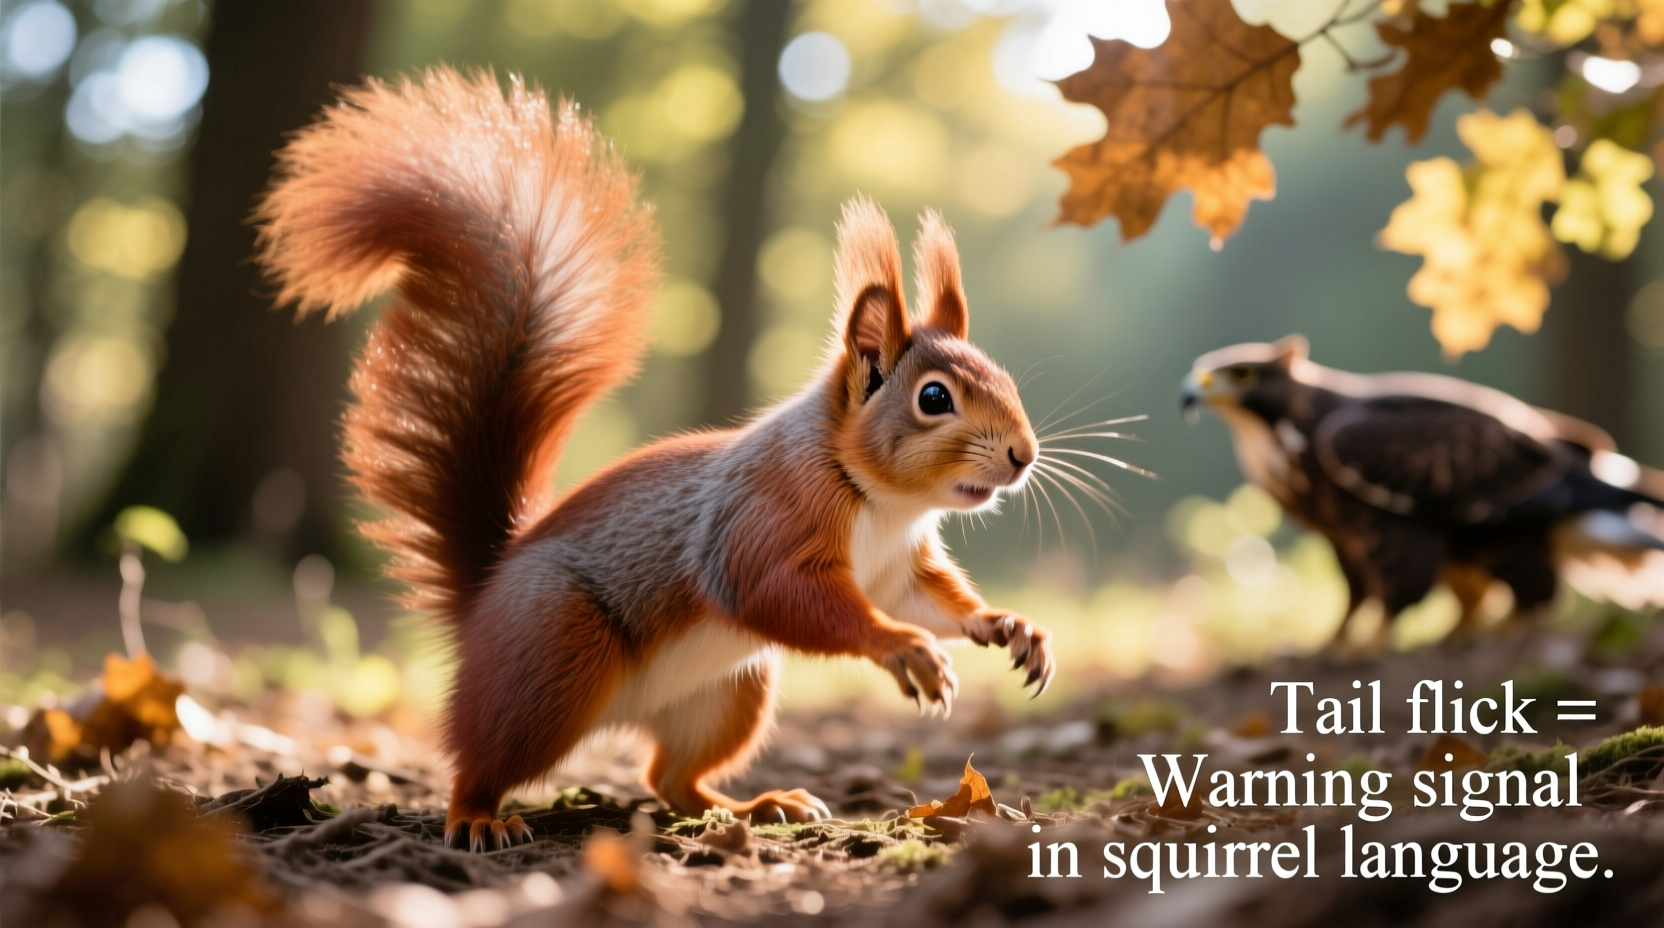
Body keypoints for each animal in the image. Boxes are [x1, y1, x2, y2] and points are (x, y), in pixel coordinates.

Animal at [254, 68, 1053, 852]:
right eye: (933, 398)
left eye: (1003, 375)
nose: (1023, 455)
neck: (883, 503)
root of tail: (483, 599)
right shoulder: (764, 517)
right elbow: (783, 593)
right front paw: (903, 647)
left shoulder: (895, 569)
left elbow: (929, 600)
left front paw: (1008, 627)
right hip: (554, 653)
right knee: (485, 756)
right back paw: (480, 815)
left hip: (731, 692)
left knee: (668, 779)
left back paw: (756, 806)